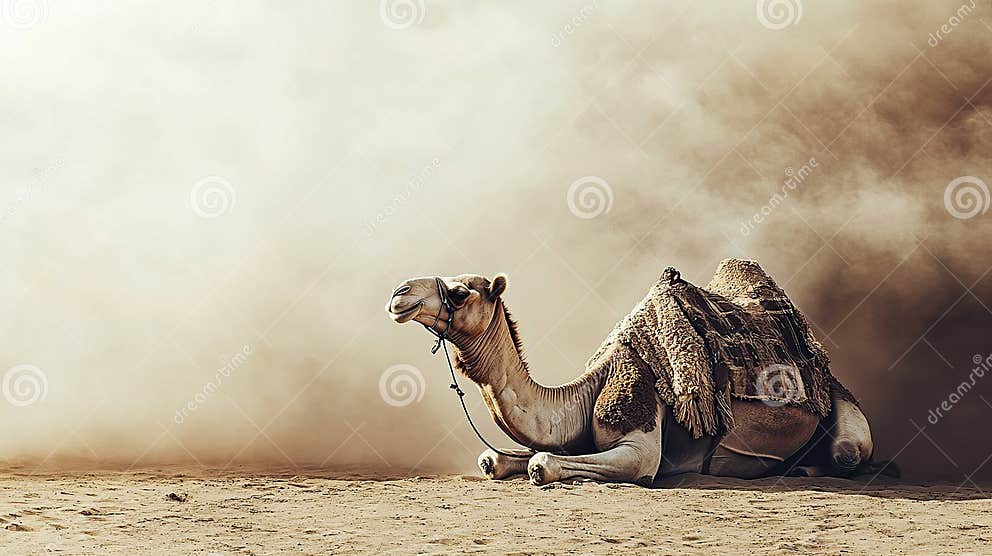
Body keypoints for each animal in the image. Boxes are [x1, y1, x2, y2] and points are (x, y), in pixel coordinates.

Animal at [386, 265, 878, 486]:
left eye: (459, 292)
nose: (398, 293)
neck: (587, 390)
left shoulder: (641, 440)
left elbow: (543, 463)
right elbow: (494, 459)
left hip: (844, 413)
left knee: (848, 454)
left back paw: (805, 468)